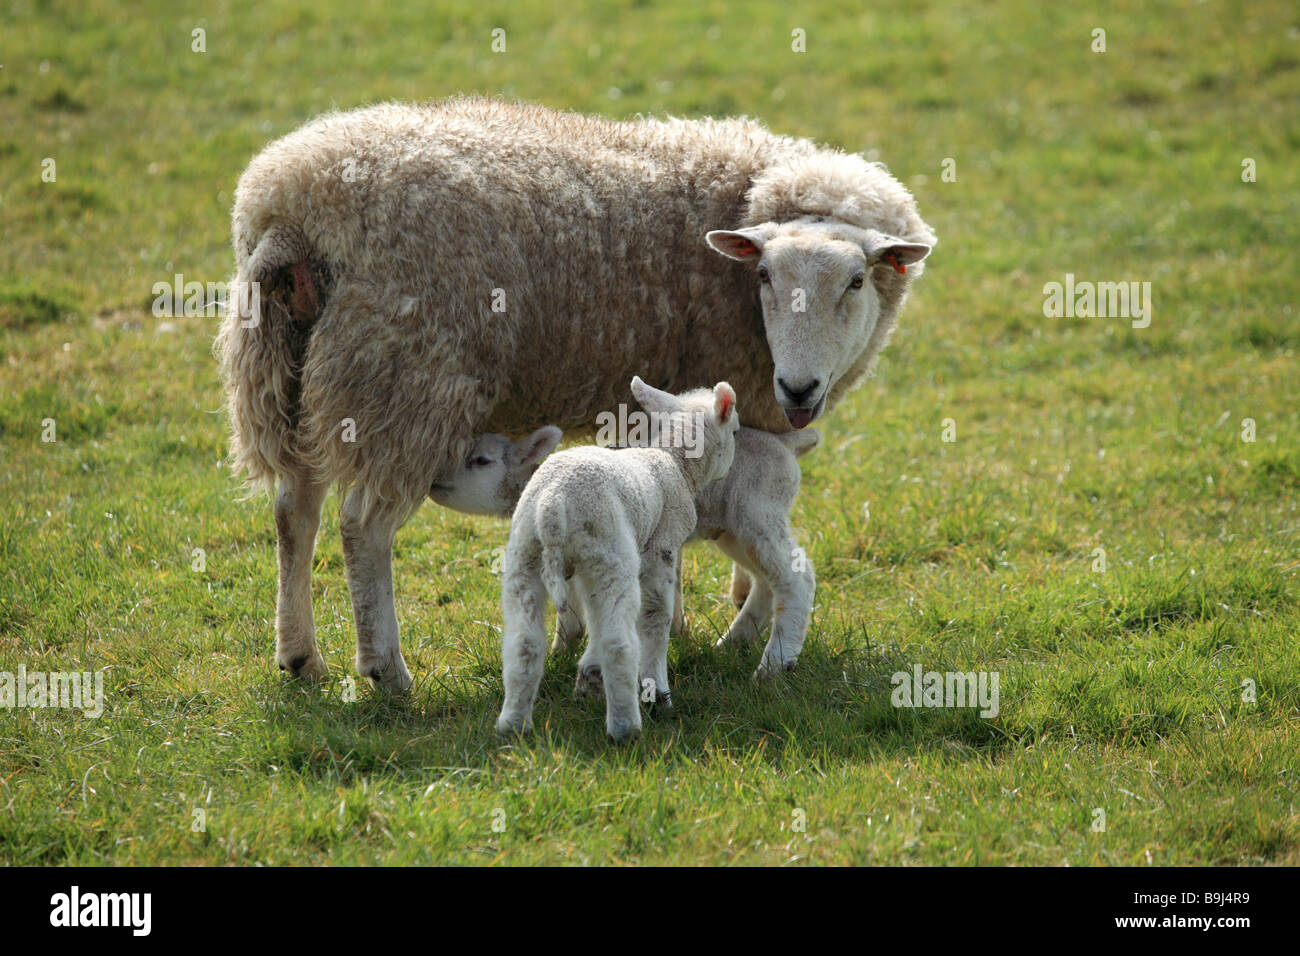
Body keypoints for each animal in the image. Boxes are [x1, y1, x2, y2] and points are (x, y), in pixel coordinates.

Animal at [215, 96, 934, 693]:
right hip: (402, 379)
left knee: (294, 510)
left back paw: (301, 655)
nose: (799, 386)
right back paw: (387, 670)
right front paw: (721, 616)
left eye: (856, 282)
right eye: (762, 276)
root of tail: (291, 207)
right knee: (361, 527)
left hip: (296, 379)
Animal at [497, 378, 739, 741]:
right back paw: (626, 729)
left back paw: (512, 726)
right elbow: (655, 617)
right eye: (735, 430)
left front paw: (589, 678)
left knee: (524, 642)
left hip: (529, 553)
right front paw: (658, 695)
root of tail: (553, 504)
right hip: (610, 550)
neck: (673, 461)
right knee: (618, 642)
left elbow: (595, 619)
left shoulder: (586, 570)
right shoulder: (660, 549)